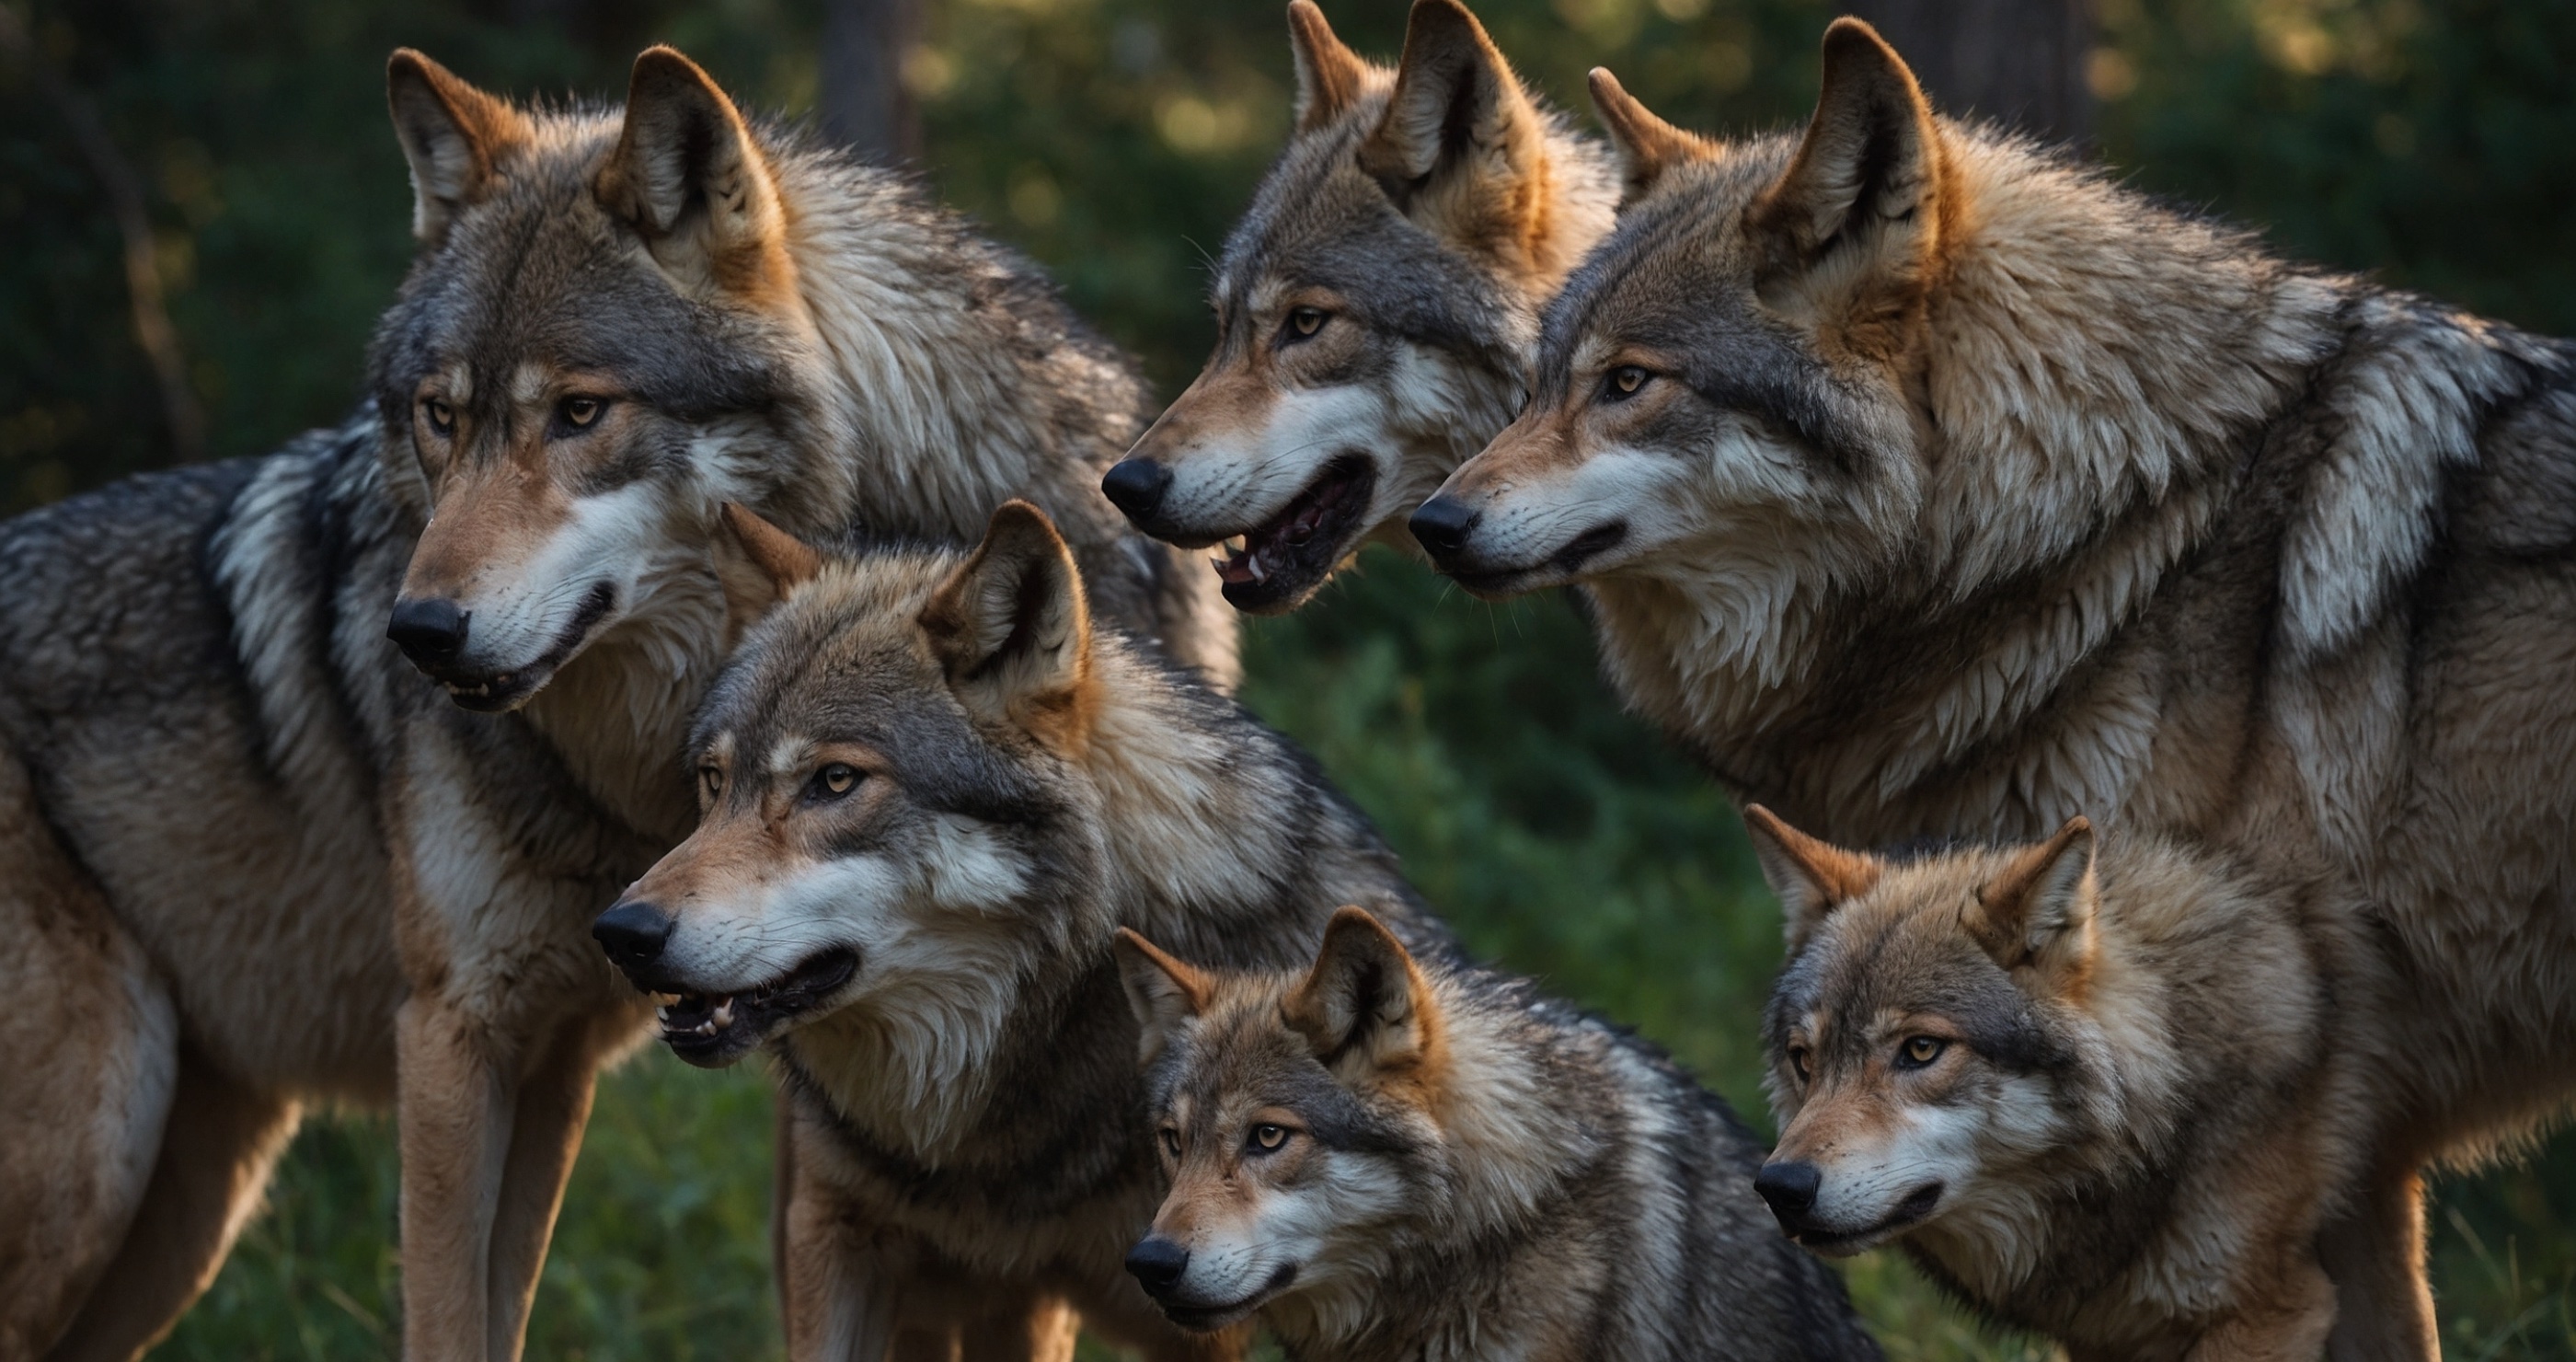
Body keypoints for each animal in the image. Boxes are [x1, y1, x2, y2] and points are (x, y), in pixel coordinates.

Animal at [0, 48, 1230, 1362]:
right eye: (442, 415)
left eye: (580, 412)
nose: (411, 631)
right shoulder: (462, 1027)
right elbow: (455, 1324)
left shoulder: (638, 1069)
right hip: (95, 1165)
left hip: (173, 1209)